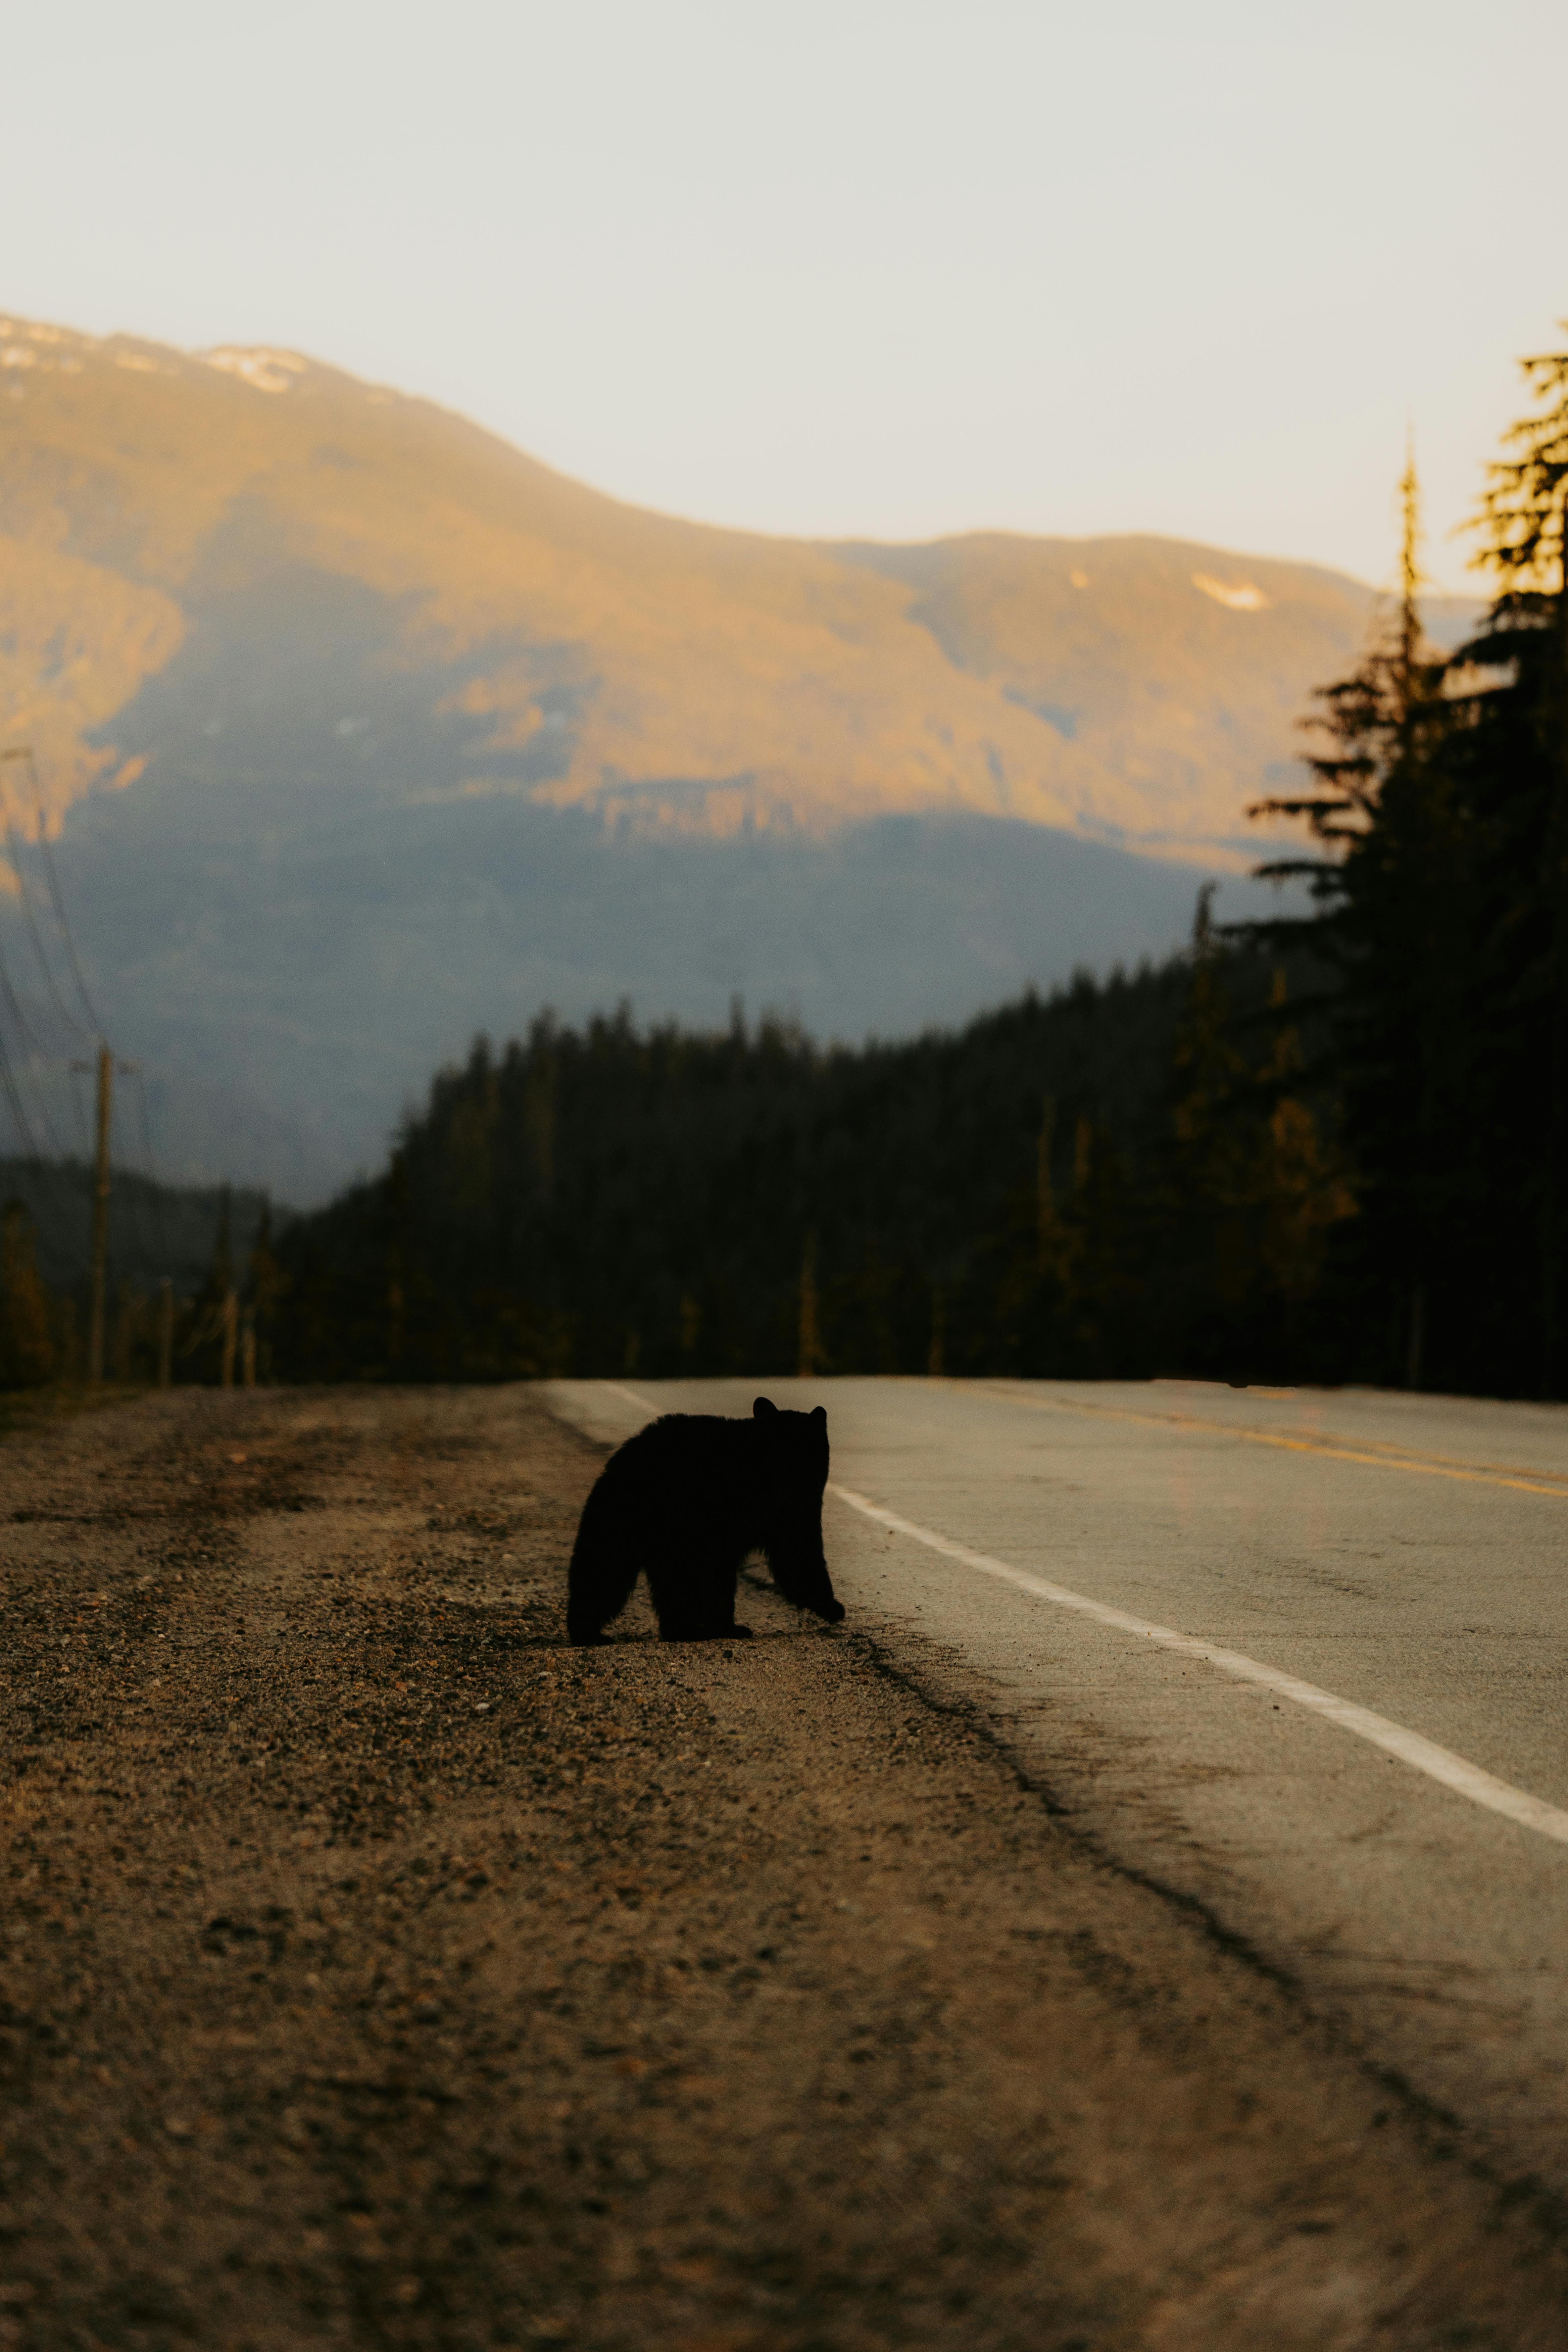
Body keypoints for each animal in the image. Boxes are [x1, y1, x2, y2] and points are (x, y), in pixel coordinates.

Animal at [566, 1396, 846, 1645]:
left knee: (605, 1566)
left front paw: (728, 1627)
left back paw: (589, 1631)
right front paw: (833, 1607)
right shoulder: (784, 1500)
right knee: (675, 1577)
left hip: (620, 1518)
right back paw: (683, 1630)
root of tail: (623, 1463)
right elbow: (797, 1550)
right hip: (676, 1522)